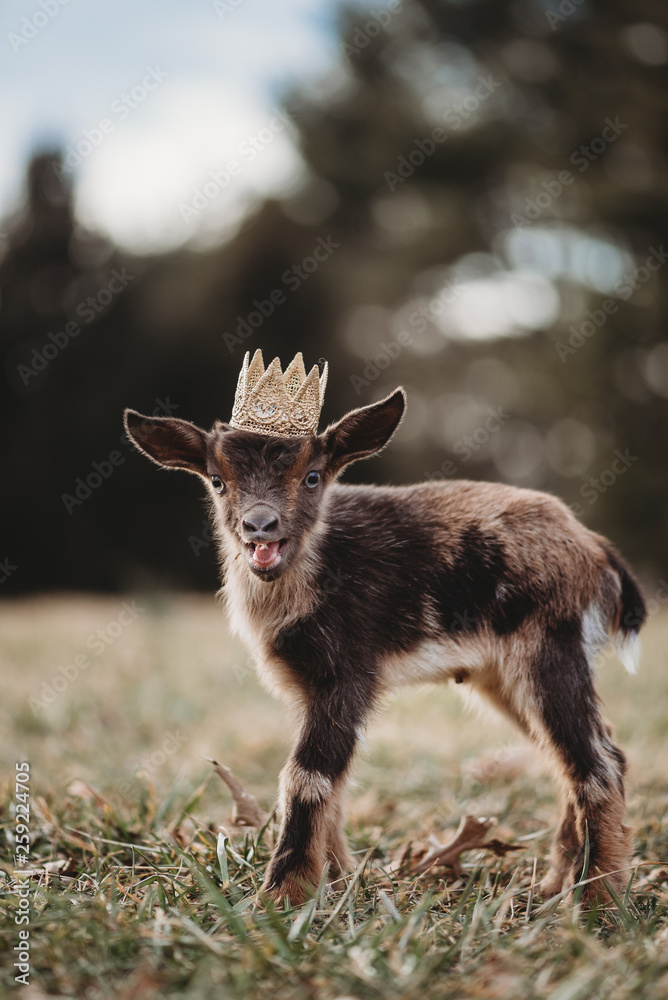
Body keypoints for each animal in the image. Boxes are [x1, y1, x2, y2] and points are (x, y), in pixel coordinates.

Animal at [124, 351, 646, 906]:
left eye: (312, 476)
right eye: (217, 479)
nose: (260, 526)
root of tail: (596, 549)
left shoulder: (348, 670)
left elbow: (307, 776)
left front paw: (283, 898)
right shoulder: (305, 685)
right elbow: (334, 784)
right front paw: (338, 880)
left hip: (550, 648)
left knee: (598, 761)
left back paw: (595, 901)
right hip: (505, 676)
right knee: (578, 751)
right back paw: (555, 883)